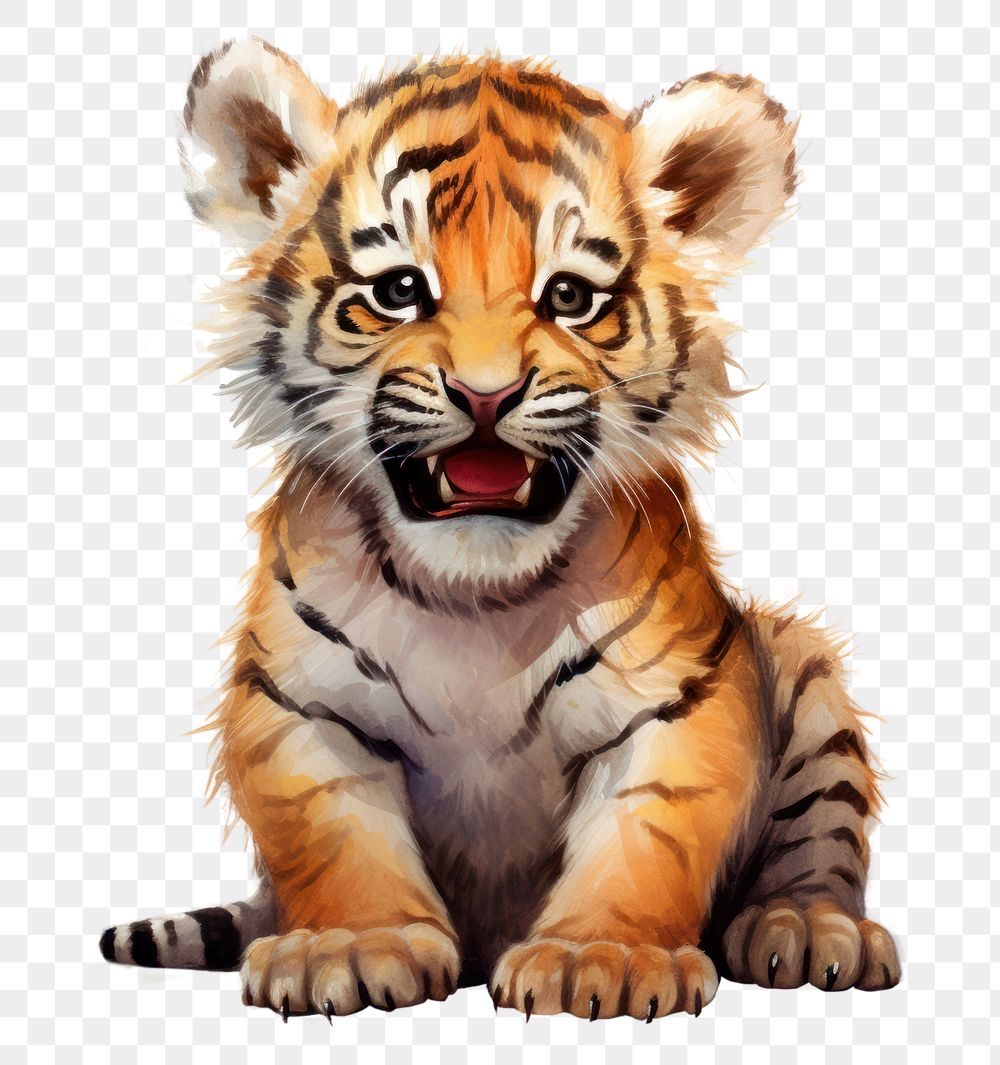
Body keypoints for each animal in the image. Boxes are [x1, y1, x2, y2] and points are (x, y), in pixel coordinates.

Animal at [99, 40, 900, 1021]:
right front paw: (349, 945)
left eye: (571, 297)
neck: (471, 601)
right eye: (401, 290)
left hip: (805, 675)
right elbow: (332, 833)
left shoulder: (679, 701)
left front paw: (602, 957)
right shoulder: (296, 703)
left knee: (819, 845)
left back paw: (806, 928)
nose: (486, 395)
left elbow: (647, 836)